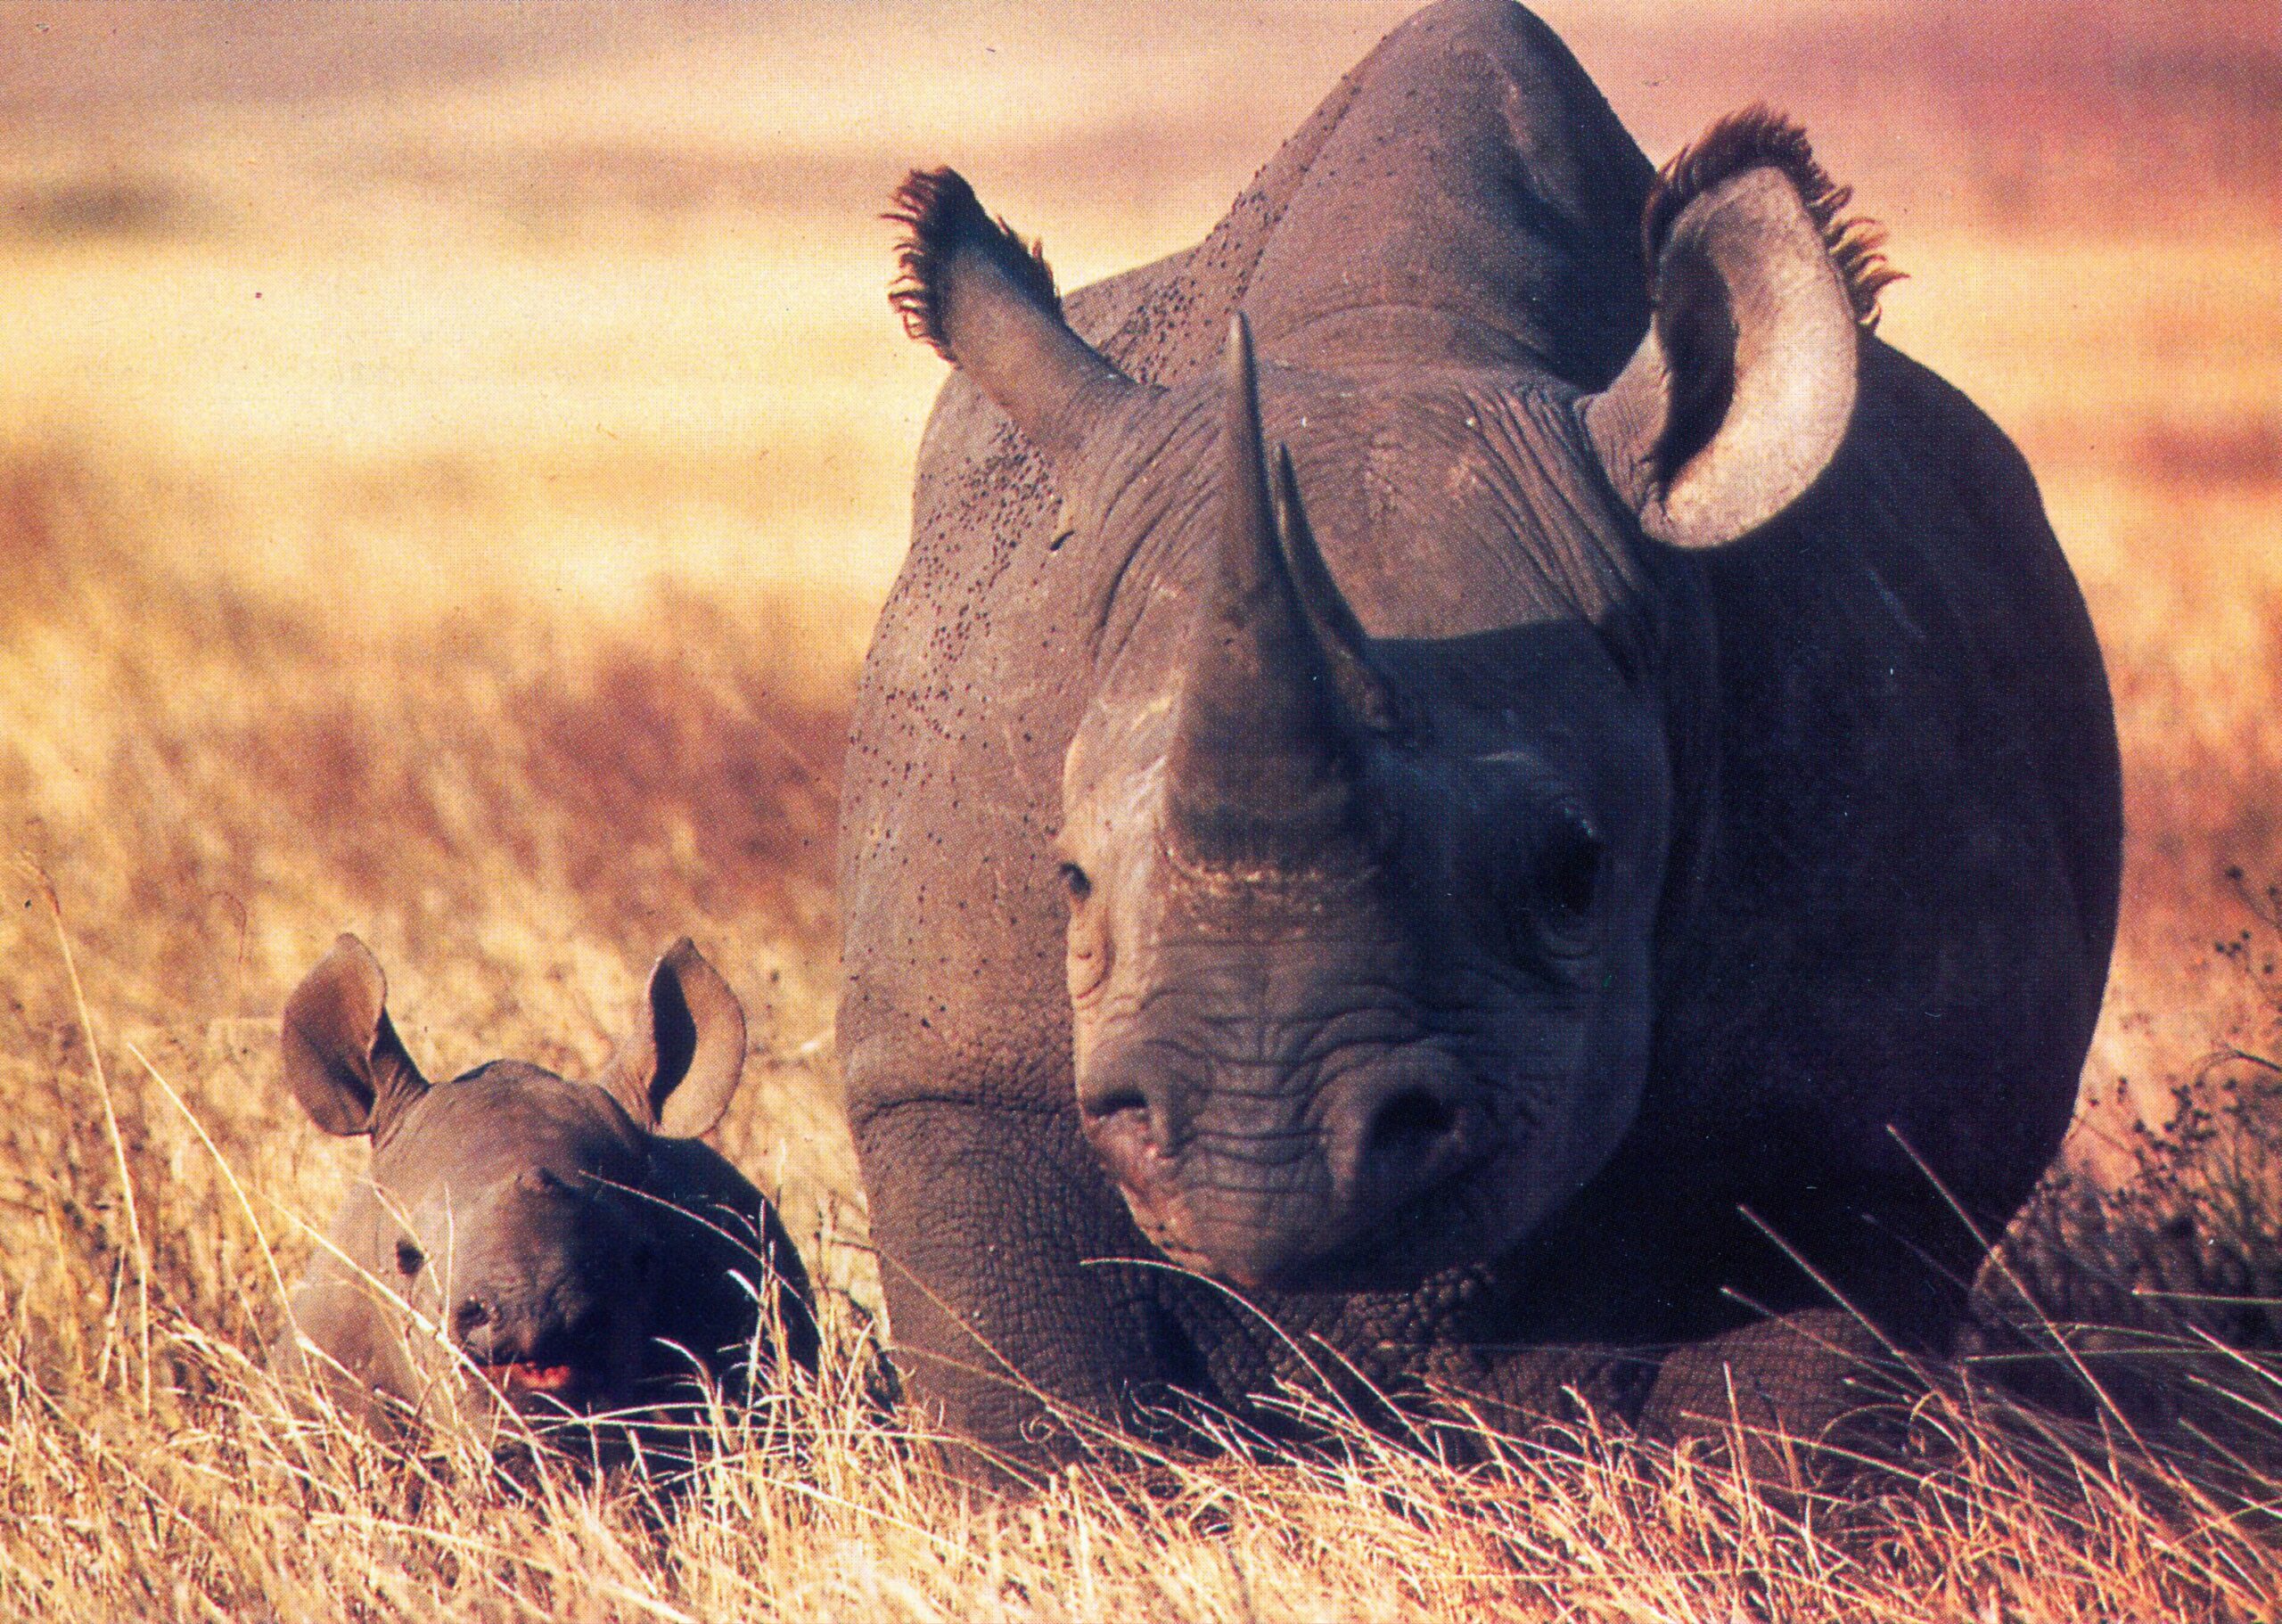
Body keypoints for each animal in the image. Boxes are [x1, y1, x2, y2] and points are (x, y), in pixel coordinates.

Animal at [839, 0, 2120, 1467]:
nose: (1265, 1150)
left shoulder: (1882, 1121)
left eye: (1575, 875)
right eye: (1069, 878)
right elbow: (1048, 1415)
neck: (1405, 338)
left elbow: (1789, 1434)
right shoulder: (951, 1071)